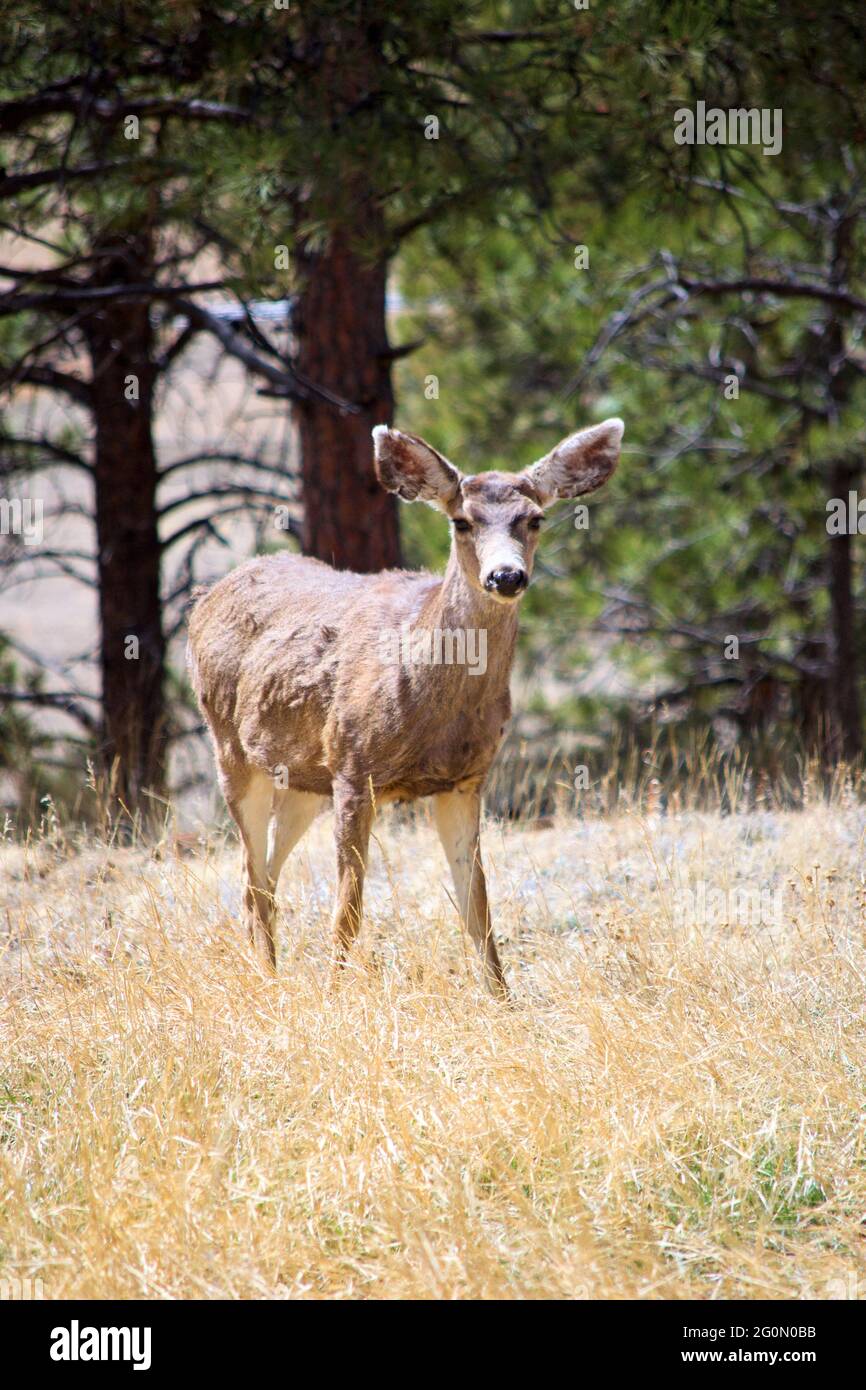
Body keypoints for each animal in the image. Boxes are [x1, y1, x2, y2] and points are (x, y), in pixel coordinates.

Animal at [187, 417, 623, 998]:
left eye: (535, 518)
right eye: (462, 521)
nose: (506, 576)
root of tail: (207, 595)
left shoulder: (465, 780)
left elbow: (478, 908)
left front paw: (503, 1000)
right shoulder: (354, 768)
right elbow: (349, 908)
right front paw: (336, 994)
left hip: (303, 777)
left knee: (266, 872)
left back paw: (272, 969)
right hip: (230, 748)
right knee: (251, 875)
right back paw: (267, 978)